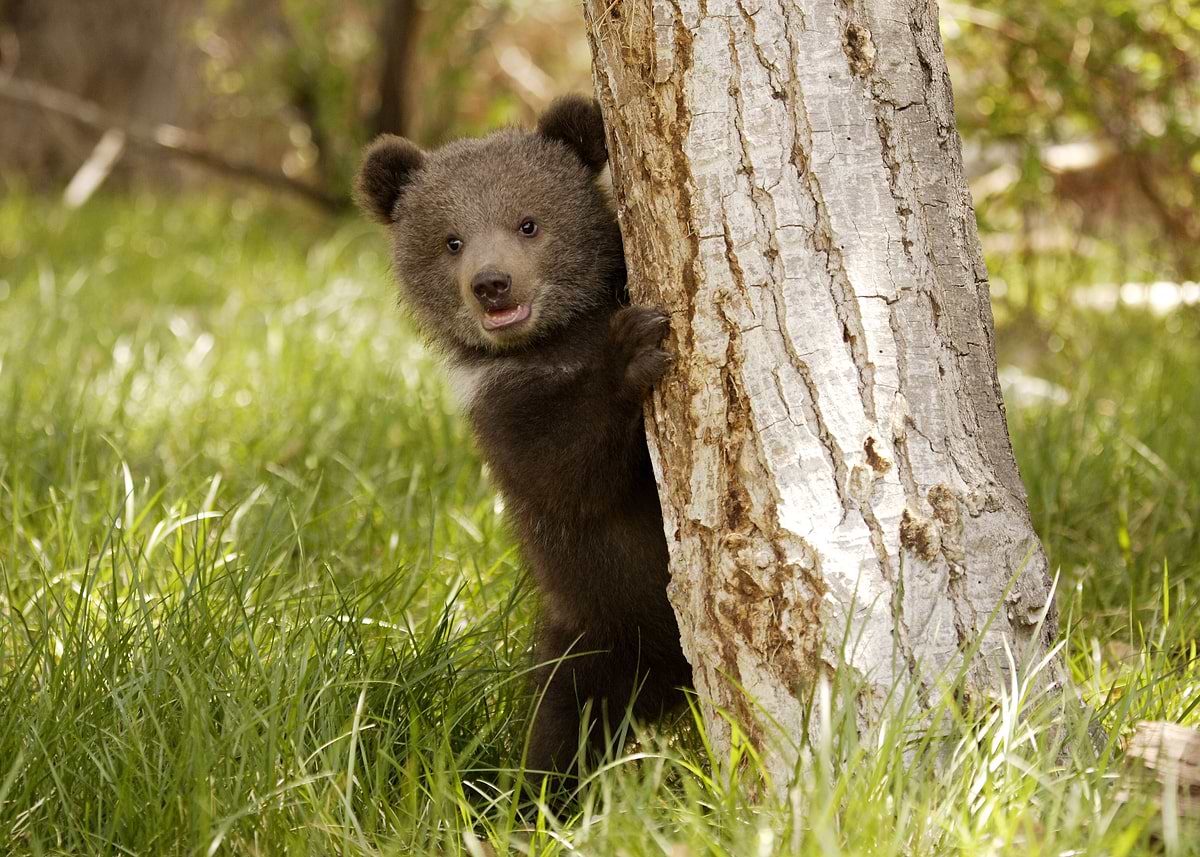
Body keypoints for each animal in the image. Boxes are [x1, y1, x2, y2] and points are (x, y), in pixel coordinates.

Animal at [355, 95, 692, 783]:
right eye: (451, 240)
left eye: (528, 223)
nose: (492, 284)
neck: (556, 342)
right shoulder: (503, 410)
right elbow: (566, 471)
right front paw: (632, 350)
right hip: (595, 631)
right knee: (566, 724)